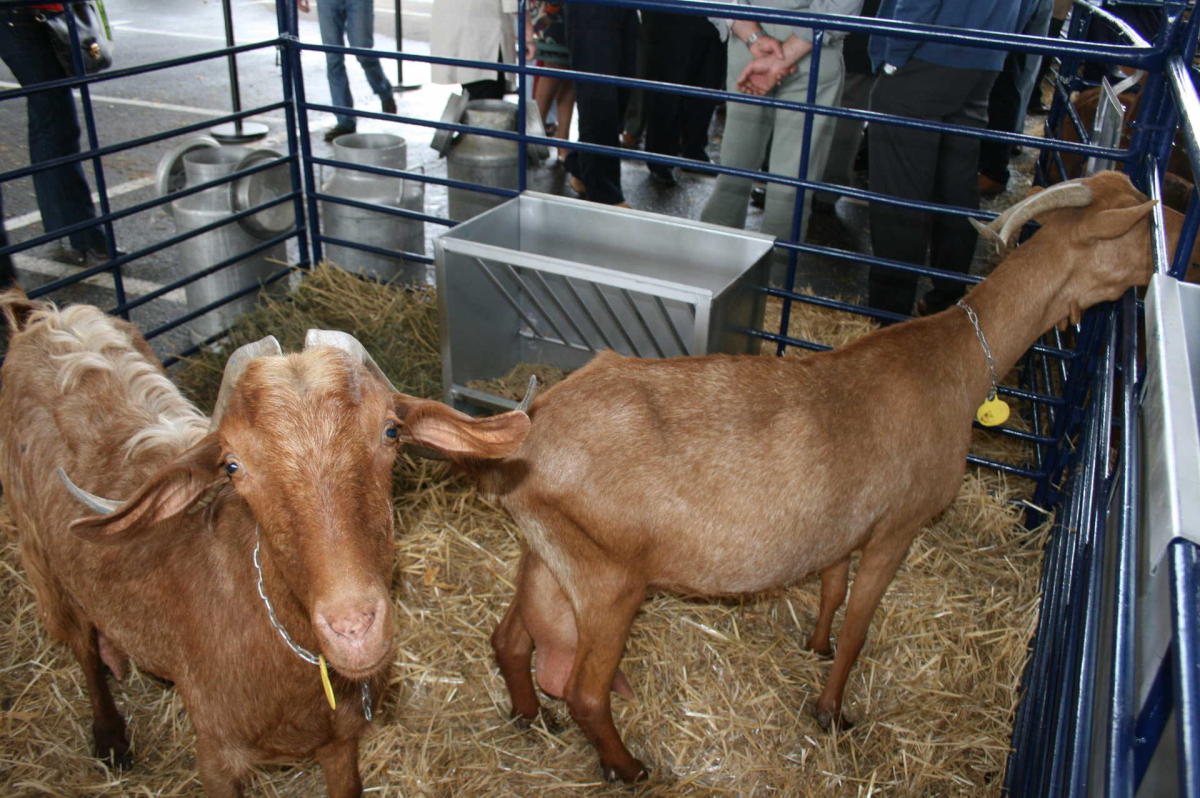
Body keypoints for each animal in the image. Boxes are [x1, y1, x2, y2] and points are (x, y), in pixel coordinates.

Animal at [0, 291, 530, 797]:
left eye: (391, 431)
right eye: (233, 465)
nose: (354, 628)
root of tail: (45, 316)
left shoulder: (340, 741)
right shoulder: (215, 754)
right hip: (40, 556)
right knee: (80, 644)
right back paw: (110, 735)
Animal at [473, 170, 1158, 782]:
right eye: (1142, 227)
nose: (1153, 274)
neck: (955, 362)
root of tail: (532, 433)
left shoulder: (842, 525)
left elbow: (831, 590)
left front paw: (816, 647)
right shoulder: (897, 527)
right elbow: (859, 625)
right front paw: (832, 712)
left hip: (548, 555)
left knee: (511, 639)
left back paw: (530, 717)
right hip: (609, 578)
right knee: (586, 690)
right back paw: (628, 768)